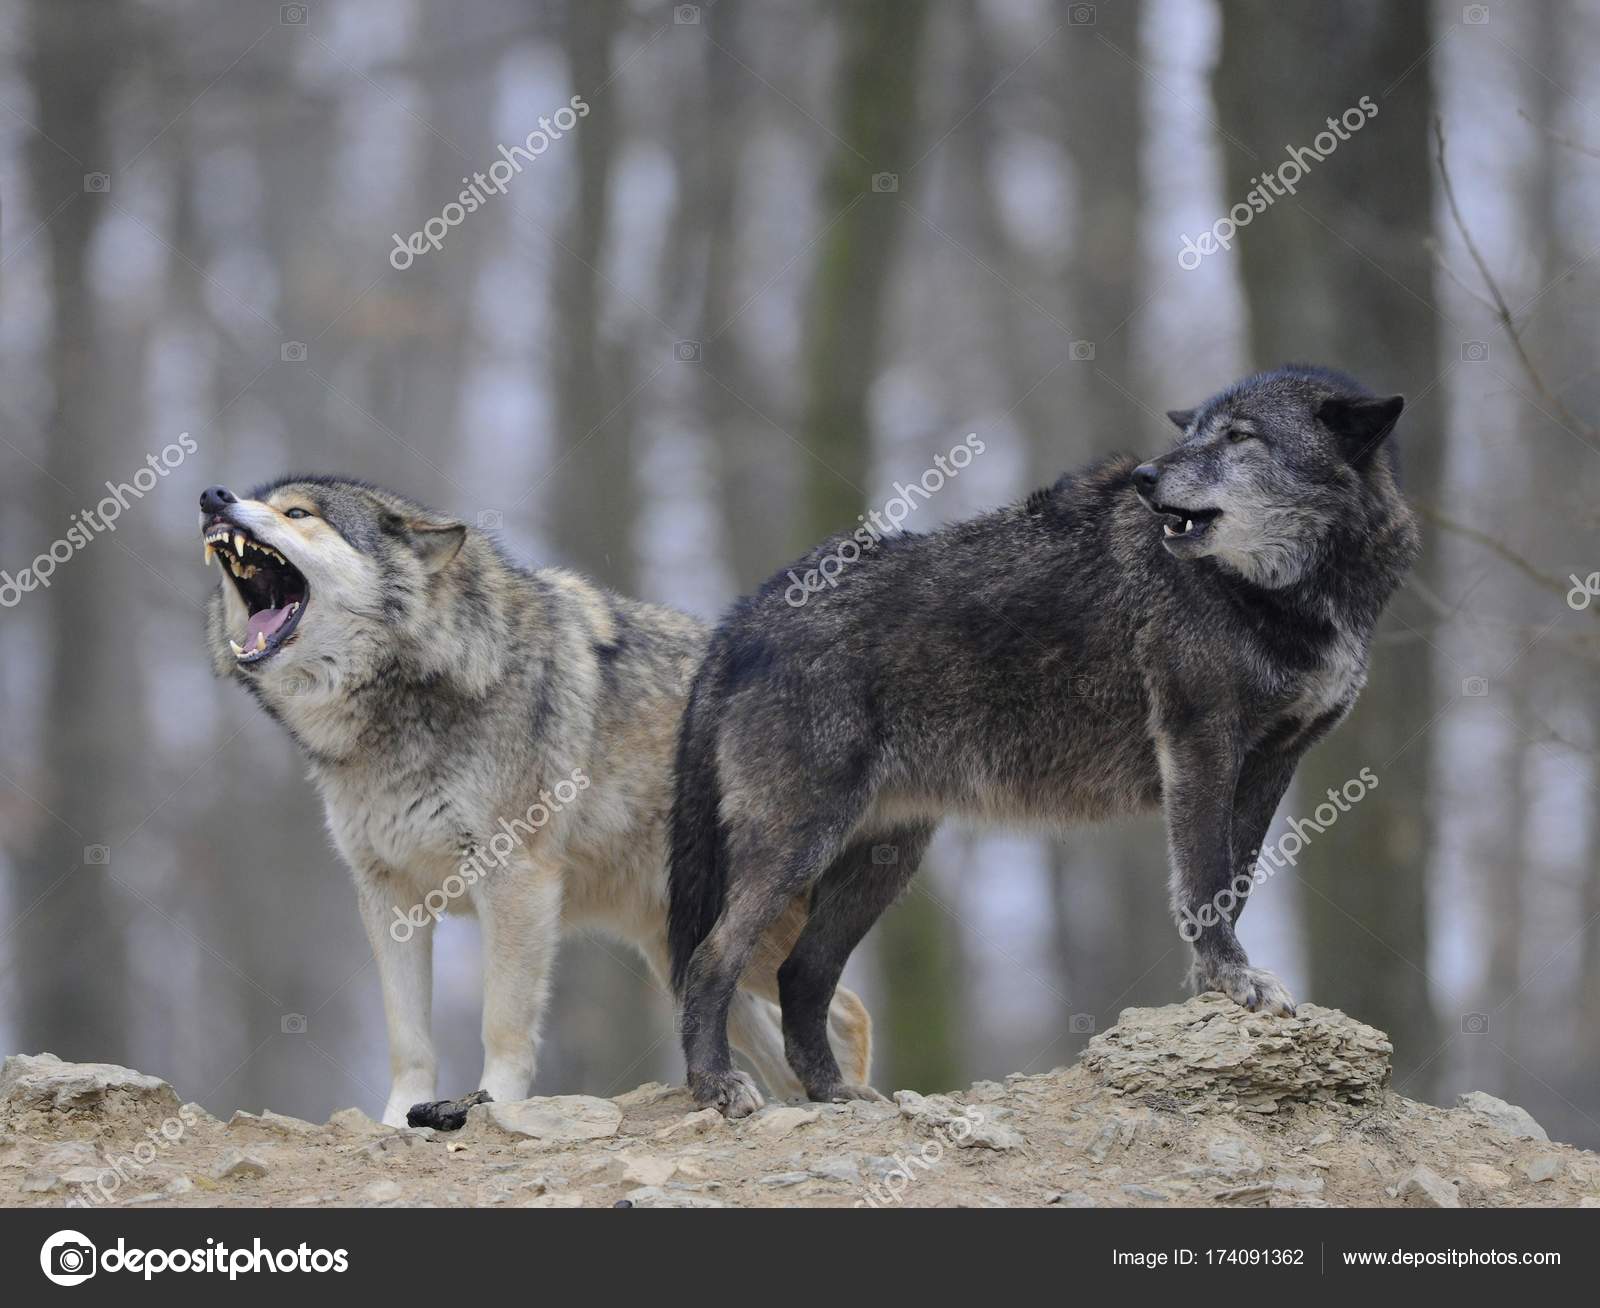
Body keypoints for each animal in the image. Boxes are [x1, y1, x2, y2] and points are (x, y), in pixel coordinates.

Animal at [197, 476, 872, 1125]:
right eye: (259, 498)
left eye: (298, 514)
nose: (213, 497)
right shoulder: (388, 896)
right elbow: (408, 1041)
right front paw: (393, 1124)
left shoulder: (514, 879)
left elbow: (503, 1024)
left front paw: (492, 1105)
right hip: (680, 955)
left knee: (850, 1012)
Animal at [668, 365, 1420, 1117]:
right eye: (1196, 434)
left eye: (1240, 436)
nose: (1147, 476)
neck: (1281, 595)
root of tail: (743, 616)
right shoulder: (1200, 744)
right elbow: (1205, 884)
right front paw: (1235, 982)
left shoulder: (1271, 767)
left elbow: (1230, 888)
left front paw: (1212, 990)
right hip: (799, 845)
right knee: (711, 957)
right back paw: (717, 1087)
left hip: (882, 862)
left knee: (803, 973)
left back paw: (835, 1094)